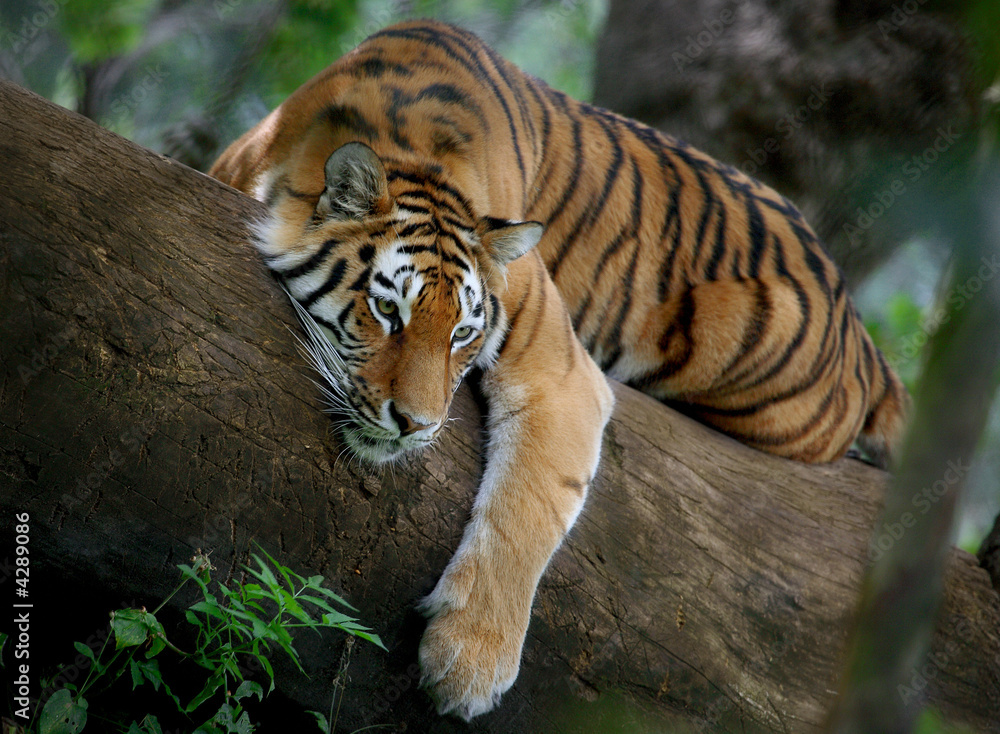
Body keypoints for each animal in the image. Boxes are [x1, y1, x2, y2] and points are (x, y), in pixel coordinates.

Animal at [209, 19, 908, 720]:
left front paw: (469, 665)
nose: (416, 426)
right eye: (387, 311)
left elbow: (529, 507)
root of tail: (856, 322)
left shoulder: (561, 372)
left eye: (463, 334)